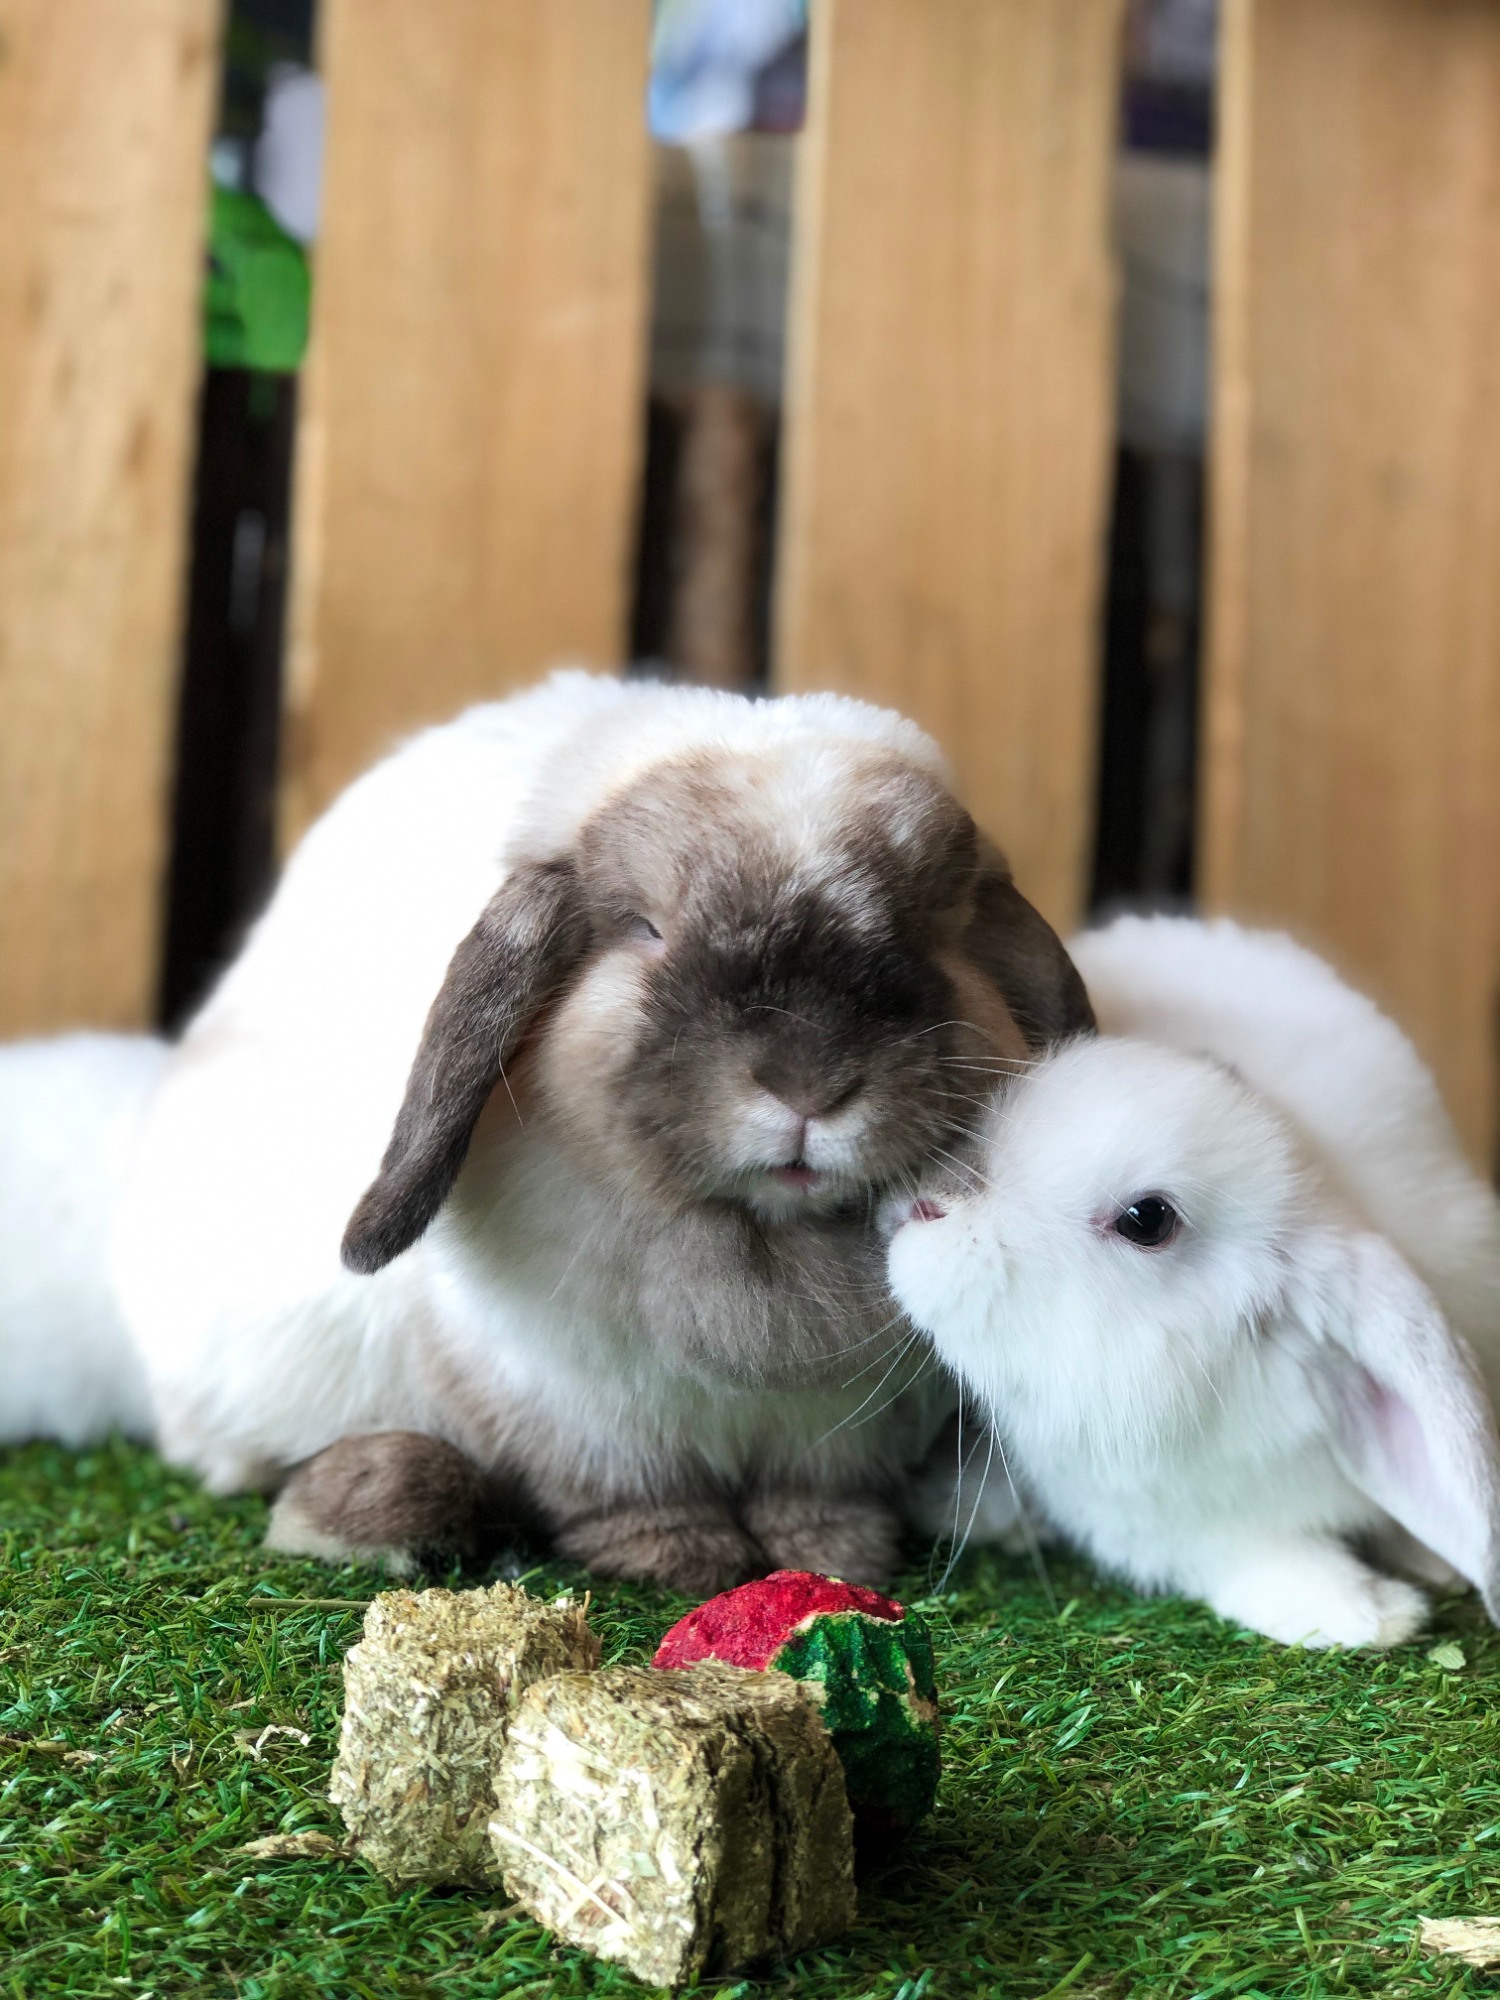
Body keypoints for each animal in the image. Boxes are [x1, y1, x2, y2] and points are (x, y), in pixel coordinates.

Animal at [109, 669, 1092, 1592]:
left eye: (935, 936)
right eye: (647, 931)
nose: (809, 1084)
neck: (757, 1248)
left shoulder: (838, 1431)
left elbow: (815, 1496)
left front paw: (834, 1558)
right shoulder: (573, 1408)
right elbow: (629, 1493)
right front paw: (681, 1561)